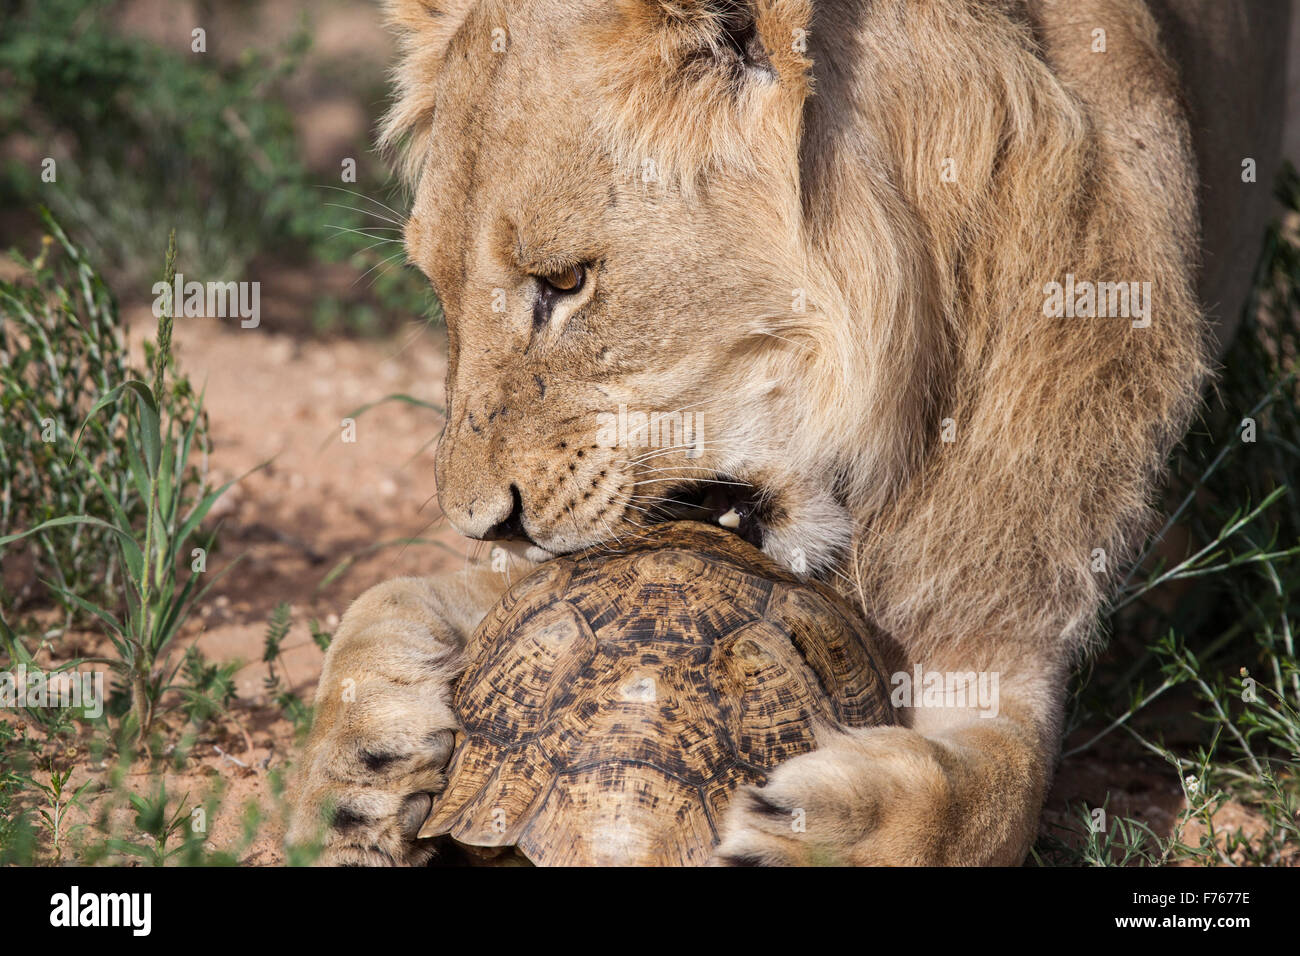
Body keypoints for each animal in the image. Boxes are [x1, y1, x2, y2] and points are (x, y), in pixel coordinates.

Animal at [286, 0, 1289, 865]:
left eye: (566, 282)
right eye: (439, 291)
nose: (483, 522)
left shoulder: (1005, 633)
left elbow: (980, 805)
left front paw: (811, 828)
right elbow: (383, 605)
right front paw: (349, 778)